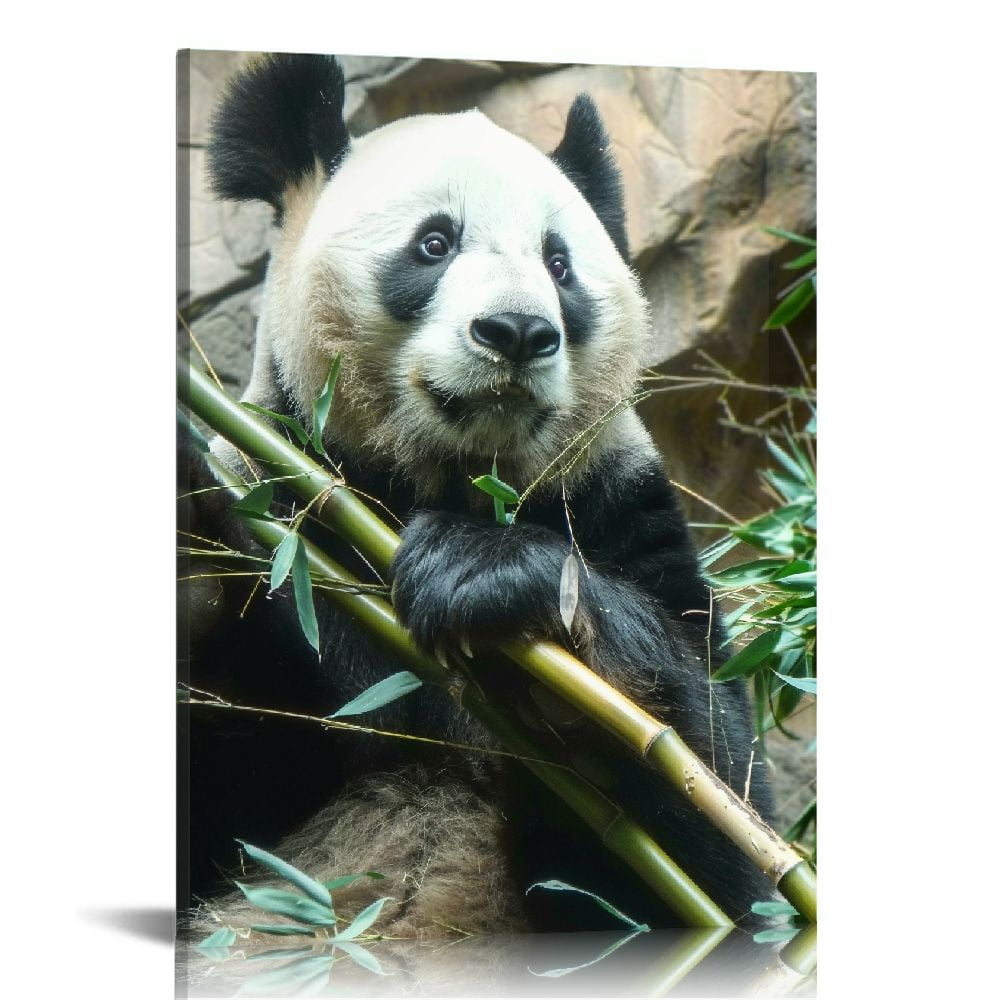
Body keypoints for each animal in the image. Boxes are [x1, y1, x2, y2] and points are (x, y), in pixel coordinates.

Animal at [180, 51, 776, 942]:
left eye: (559, 264)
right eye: (434, 243)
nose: (518, 333)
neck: (447, 479)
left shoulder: (612, 502)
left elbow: (729, 816)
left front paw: (484, 583)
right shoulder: (281, 493)